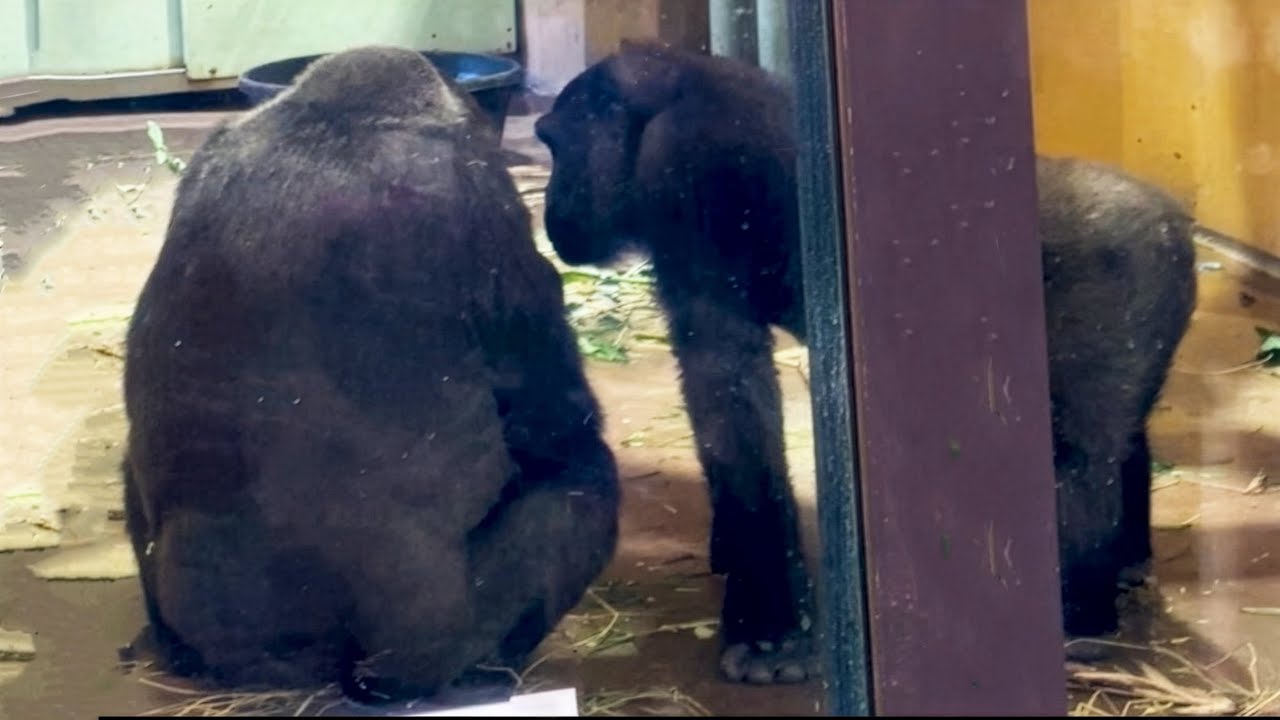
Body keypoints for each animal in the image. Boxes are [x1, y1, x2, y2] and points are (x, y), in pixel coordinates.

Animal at [532, 39, 1197, 682]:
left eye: (554, 145)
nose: (550, 208)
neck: (677, 90)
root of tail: (1173, 222)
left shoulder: (684, 169)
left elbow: (730, 393)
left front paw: (769, 623)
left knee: (1075, 454)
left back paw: (1078, 615)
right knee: (1116, 436)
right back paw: (1125, 558)